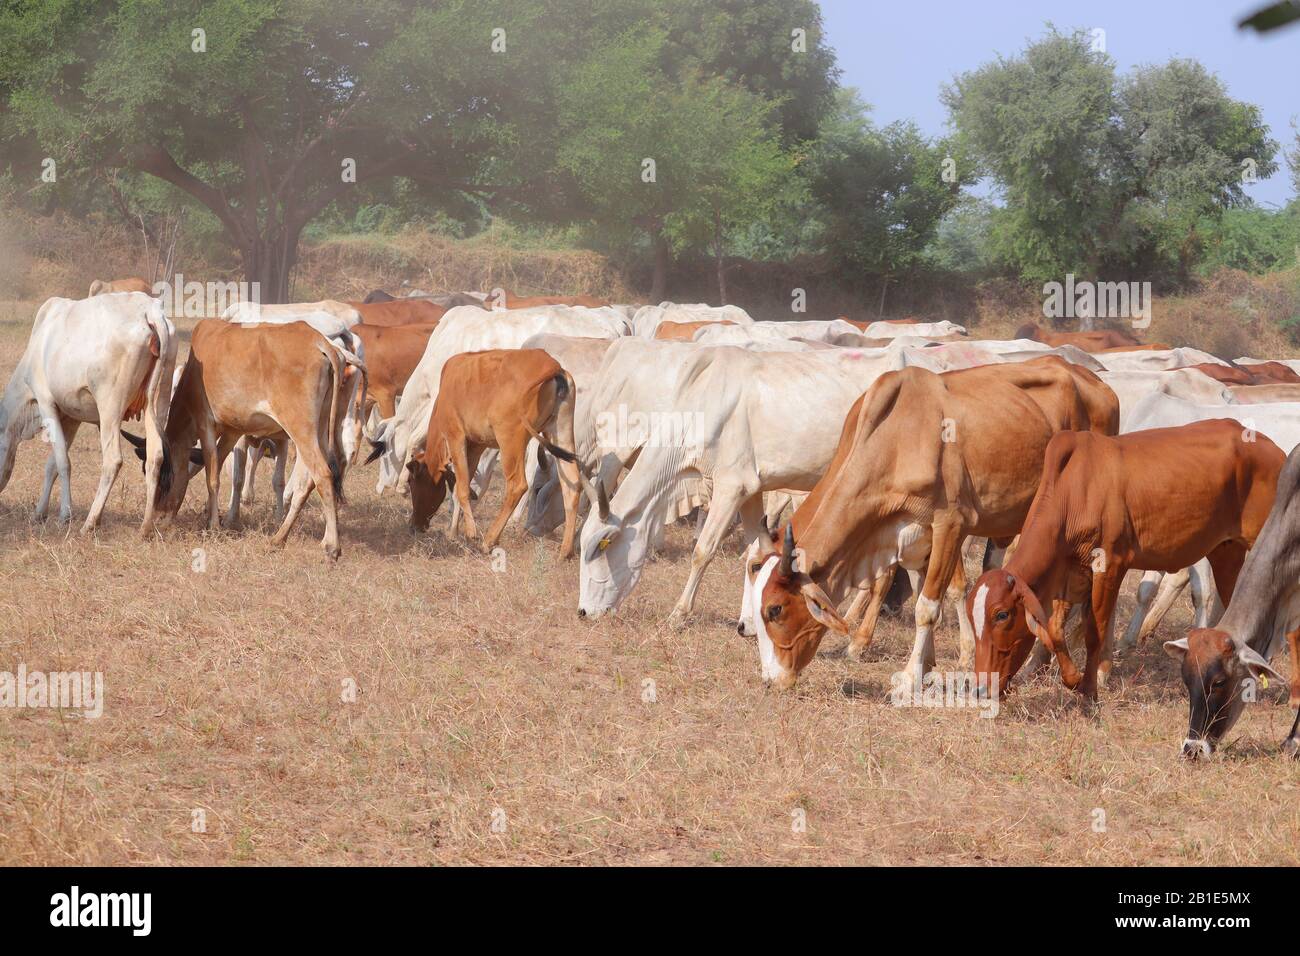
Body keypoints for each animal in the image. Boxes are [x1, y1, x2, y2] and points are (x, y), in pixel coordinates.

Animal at [0, 293, 175, 534]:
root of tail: (150, 310)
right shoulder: (71, 418)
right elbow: (52, 465)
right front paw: (39, 513)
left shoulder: (46, 402)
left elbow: (62, 462)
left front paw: (65, 515)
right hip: (157, 404)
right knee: (155, 457)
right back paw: (145, 527)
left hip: (110, 408)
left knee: (113, 460)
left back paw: (90, 523)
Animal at [150, 320, 360, 559]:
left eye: (163, 479)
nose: (158, 514)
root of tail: (320, 342)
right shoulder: (232, 431)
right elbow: (220, 467)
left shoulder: (205, 423)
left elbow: (212, 477)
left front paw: (213, 526)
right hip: (321, 428)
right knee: (308, 481)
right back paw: (281, 538)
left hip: (300, 428)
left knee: (323, 475)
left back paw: (332, 547)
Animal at [405, 349, 583, 557]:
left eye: (412, 482)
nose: (413, 526)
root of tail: (552, 365)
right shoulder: (476, 445)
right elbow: (459, 487)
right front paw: (453, 533)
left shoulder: (455, 436)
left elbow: (462, 488)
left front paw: (470, 532)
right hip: (560, 433)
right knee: (572, 485)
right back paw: (565, 552)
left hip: (510, 441)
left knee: (517, 485)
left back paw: (489, 540)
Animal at [746, 357, 1119, 691]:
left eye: (775, 609)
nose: (770, 680)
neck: (896, 439)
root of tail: (1098, 383)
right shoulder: (913, 535)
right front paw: (927, 665)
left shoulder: (951, 524)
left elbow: (927, 606)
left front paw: (911, 677)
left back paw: (1092, 671)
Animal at [968, 419, 1285, 701]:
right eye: (972, 618)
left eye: (1001, 615)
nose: (981, 688)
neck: (1074, 492)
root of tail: (1274, 449)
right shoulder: (1070, 574)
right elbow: (1055, 629)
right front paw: (1073, 678)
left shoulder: (1109, 565)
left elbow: (1096, 629)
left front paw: (1090, 687)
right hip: (1226, 551)